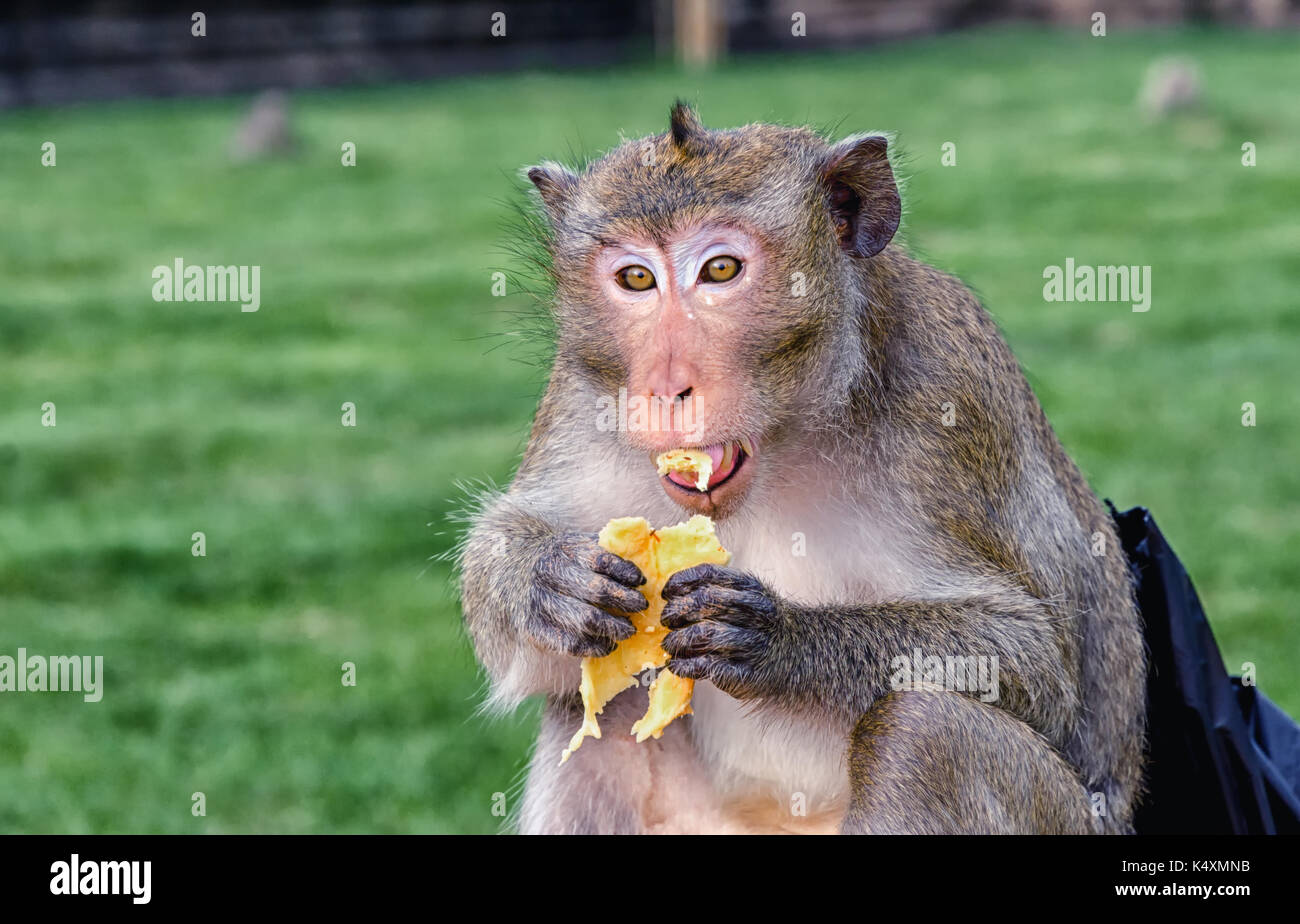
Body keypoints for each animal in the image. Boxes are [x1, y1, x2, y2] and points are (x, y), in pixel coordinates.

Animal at [458, 102, 1146, 834]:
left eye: (721, 269)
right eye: (635, 279)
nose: (666, 388)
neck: (789, 431)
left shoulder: (951, 401)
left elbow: (1034, 660)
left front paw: (774, 639)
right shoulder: (580, 388)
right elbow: (518, 609)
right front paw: (551, 583)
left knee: (925, 728)